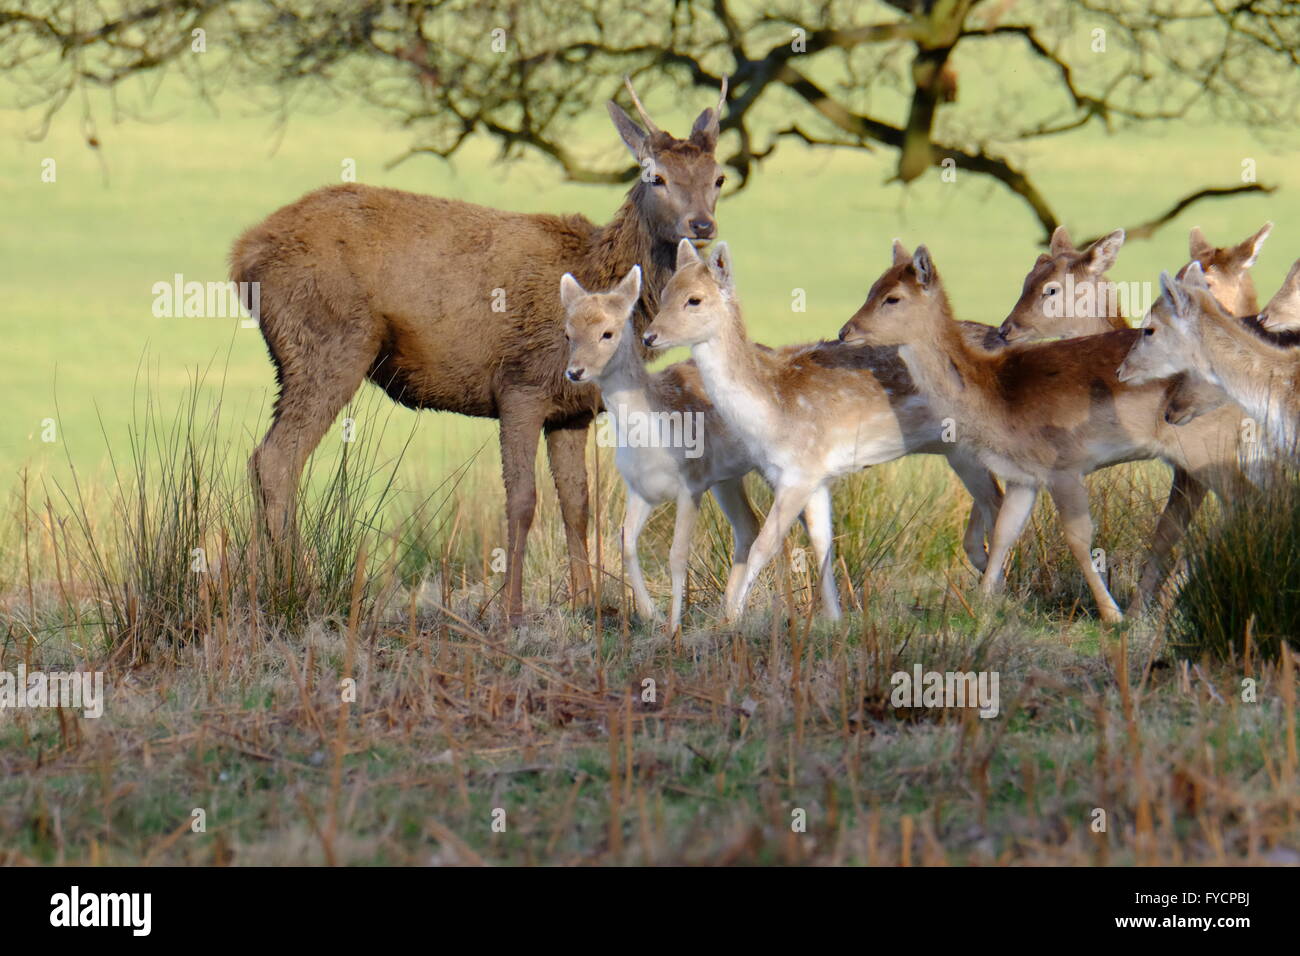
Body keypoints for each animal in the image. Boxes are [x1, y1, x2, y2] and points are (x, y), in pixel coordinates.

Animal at [231, 77, 729, 623]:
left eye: (718, 177)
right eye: (656, 176)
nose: (702, 225)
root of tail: (242, 257)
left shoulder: (572, 411)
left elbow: (578, 503)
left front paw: (588, 604)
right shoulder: (520, 385)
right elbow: (523, 500)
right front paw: (511, 609)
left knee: (267, 459)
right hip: (326, 345)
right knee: (275, 459)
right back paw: (294, 589)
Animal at [560, 265, 762, 631]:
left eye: (607, 333)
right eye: (568, 334)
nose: (575, 371)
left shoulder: (691, 482)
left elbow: (678, 553)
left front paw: (673, 627)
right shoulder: (639, 487)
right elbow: (626, 542)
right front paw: (648, 613)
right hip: (726, 478)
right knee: (748, 525)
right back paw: (730, 612)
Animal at [640, 240, 1005, 622]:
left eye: (694, 299)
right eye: (664, 293)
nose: (649, 336)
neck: (774, 411)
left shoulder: (799, 472)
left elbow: (764, 546)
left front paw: (733, 619)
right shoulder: (816, 477)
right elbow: (821, 544)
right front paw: (834, 619)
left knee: (997, 499)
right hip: (958, 449)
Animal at [838, 242, 1253, 624]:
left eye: (893, 297)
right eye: (872, 287)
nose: (845, 331)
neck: (994, 395)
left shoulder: (1063, 466)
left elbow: (1078, 538)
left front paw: (1111, 615)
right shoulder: (1024, 476)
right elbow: (1004, 532)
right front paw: (982, 605)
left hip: (1206, 447)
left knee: (1241, 501)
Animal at [993, 223, 1270, 611]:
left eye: (1051, 288)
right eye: (1027, 278)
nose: (1006, 329)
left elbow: (1178, 528)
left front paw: (1151, 608)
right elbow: (1167, 530)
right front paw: (1142, 608)